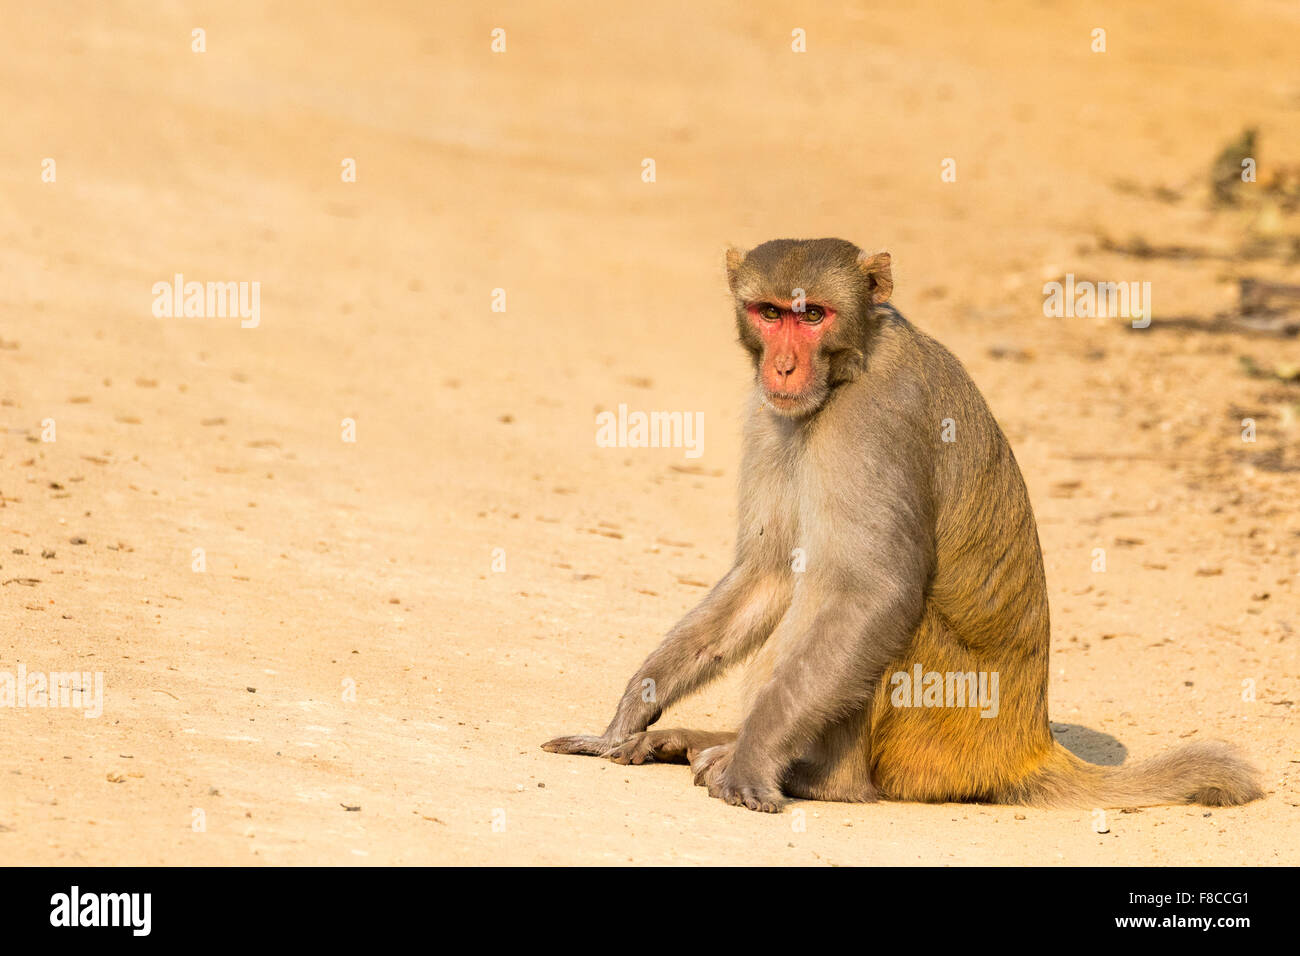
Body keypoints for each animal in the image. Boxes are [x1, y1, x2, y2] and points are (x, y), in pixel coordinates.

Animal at [543, 238, 1263, 813]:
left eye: (813, 315)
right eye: (770, 313)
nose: (782, 367)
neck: (851, 365)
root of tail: (1027, 745)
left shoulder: (874, 419)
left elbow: (874, 591)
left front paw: (753, 761)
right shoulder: (773, 416)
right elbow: (767, 574)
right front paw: (630, 714)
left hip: (942, 730)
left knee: (872, 603)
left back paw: (815, 778)